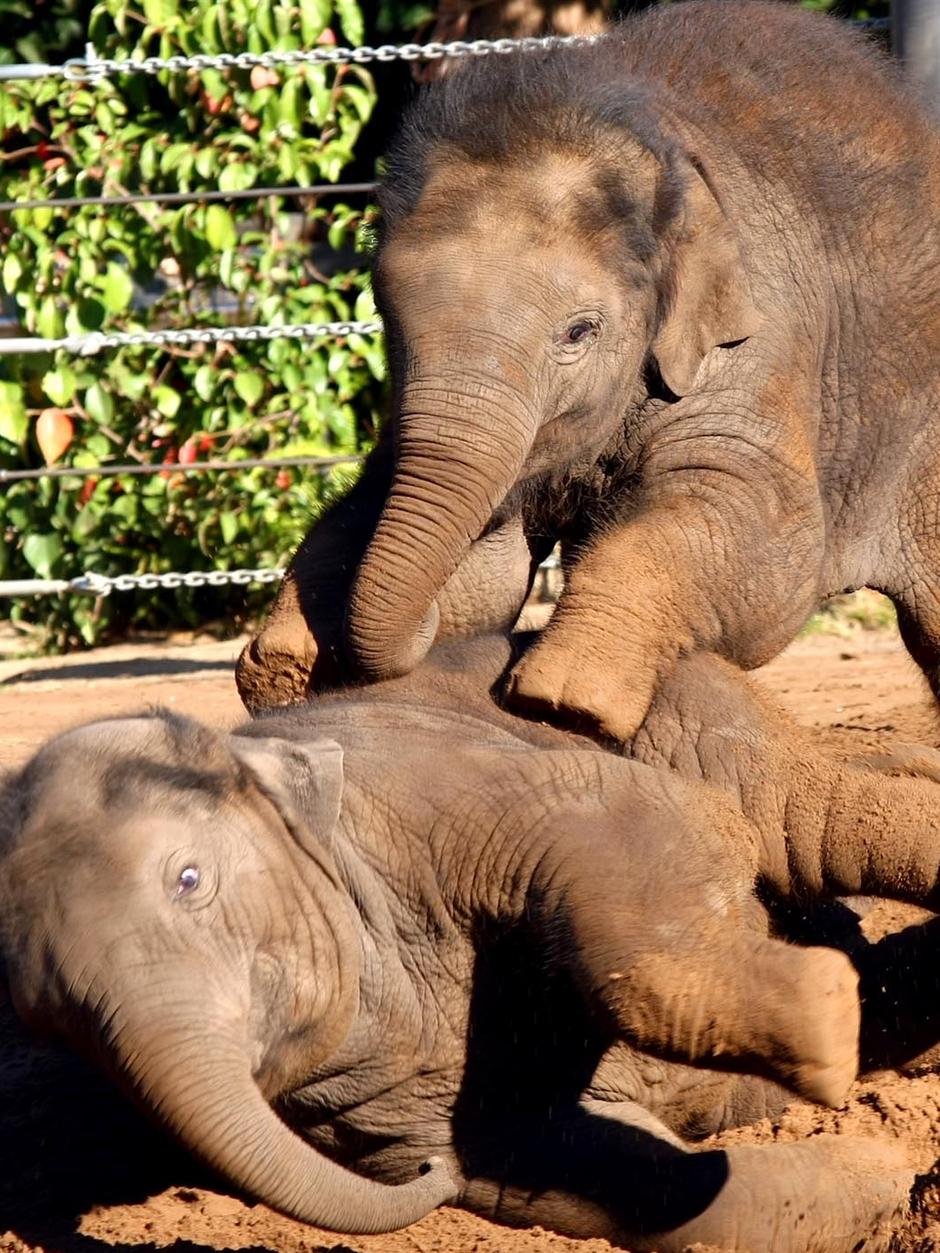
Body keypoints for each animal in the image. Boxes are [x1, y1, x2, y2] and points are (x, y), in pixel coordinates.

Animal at [8, 636, 940, 1251]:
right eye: (50, 1020)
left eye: (190, 879)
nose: (434, 1177)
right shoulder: (368, 1112)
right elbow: (576, 1165)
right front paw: (879, 1161)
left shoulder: (444, 786)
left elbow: (635, 819)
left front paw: (830, 1034)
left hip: (699, 707)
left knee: (820, 823)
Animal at [238, 0, 940, 744]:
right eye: (385, 315)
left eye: (579, 332)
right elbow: (433, 533)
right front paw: (286, 669)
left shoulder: (761, 337)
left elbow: (760, 529)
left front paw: (563, 699)